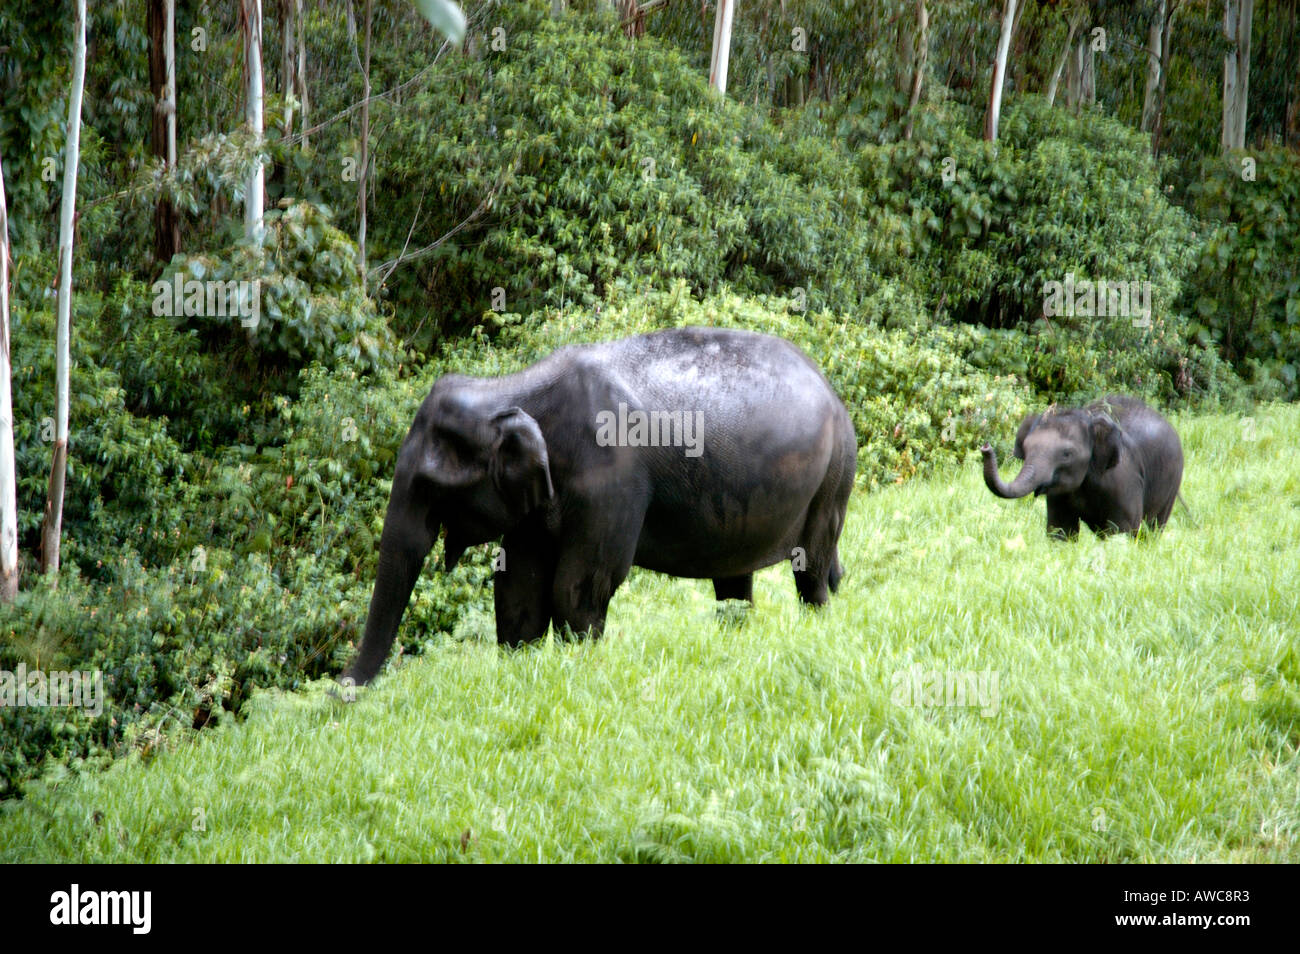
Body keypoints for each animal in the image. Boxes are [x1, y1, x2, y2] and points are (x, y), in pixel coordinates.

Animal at [342, 326, 857, 685]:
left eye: (430, 488)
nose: (340, 694)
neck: (511, 389)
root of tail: (830, 385)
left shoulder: (611, 477)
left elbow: (579, 586)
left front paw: (580, 664)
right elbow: (517, 587)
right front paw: (522, 668)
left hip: (834, 475)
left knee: (810, 569)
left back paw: (817, 623)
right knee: (735, 582)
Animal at [981, 395, 1184, 538]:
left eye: (1066, 454)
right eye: (1026, 448)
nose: (985, 446)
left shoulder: (1126, 479)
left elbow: (1124, 529)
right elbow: (1061, 530)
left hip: (1172, 482)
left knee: (1153, 528)